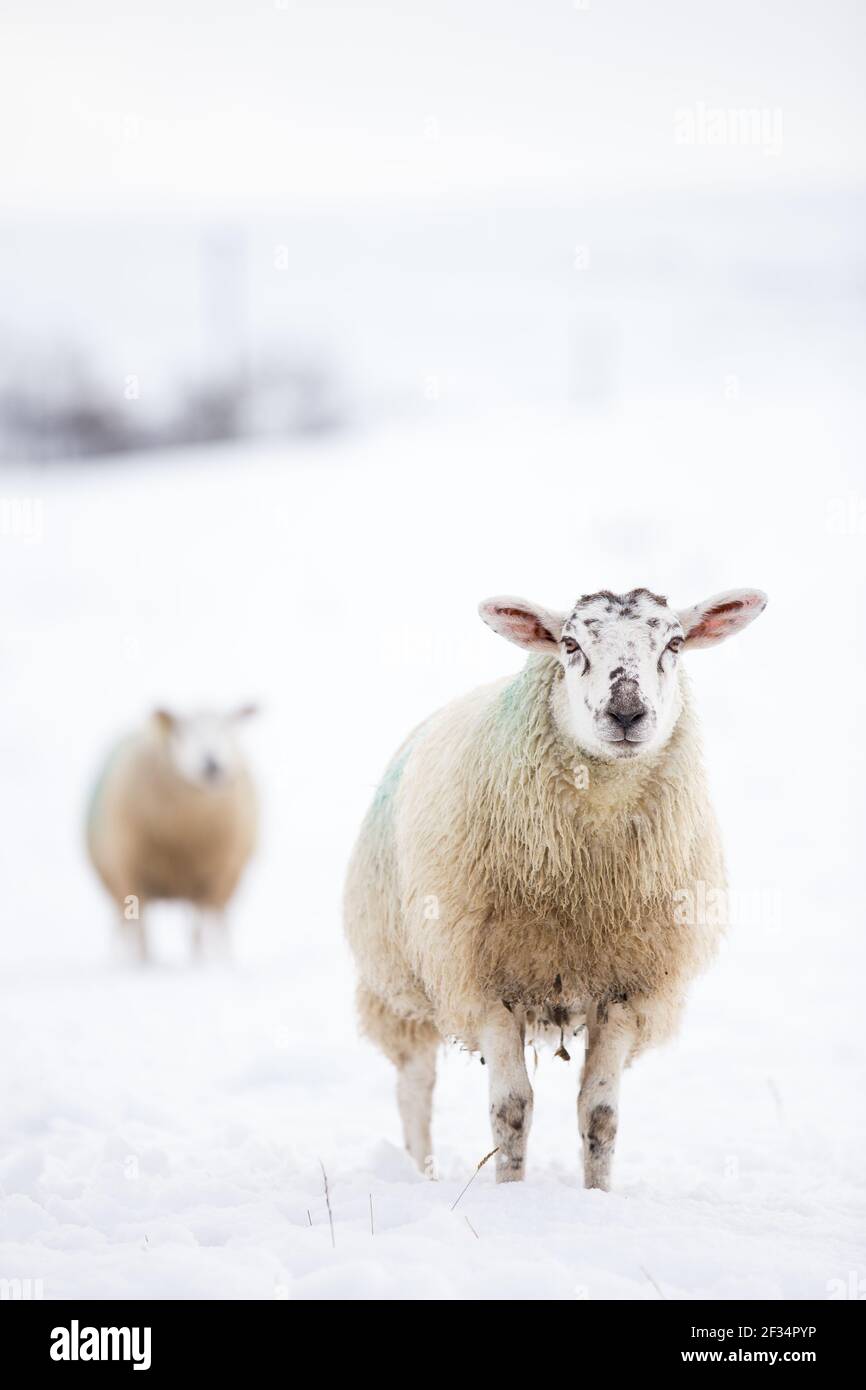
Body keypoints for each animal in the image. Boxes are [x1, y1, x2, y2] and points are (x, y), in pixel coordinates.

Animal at [87, 706, 258, 963]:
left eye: (227, 730)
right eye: (181, 733)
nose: (212, 764)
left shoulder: (220, 877)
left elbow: (208, 930)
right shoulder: (127, 871)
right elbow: (138, 930)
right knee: (134, 929)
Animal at [344, 586, 767, 1190]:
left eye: (674, 644)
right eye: (570, 644)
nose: (626, 713)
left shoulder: (625, 987)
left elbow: (600, 1112)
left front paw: (597, 1195)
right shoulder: (487, 981)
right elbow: (511, 1108)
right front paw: (511, 1194)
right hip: (402, 982)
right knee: (414, 1088)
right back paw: (420, 1177)